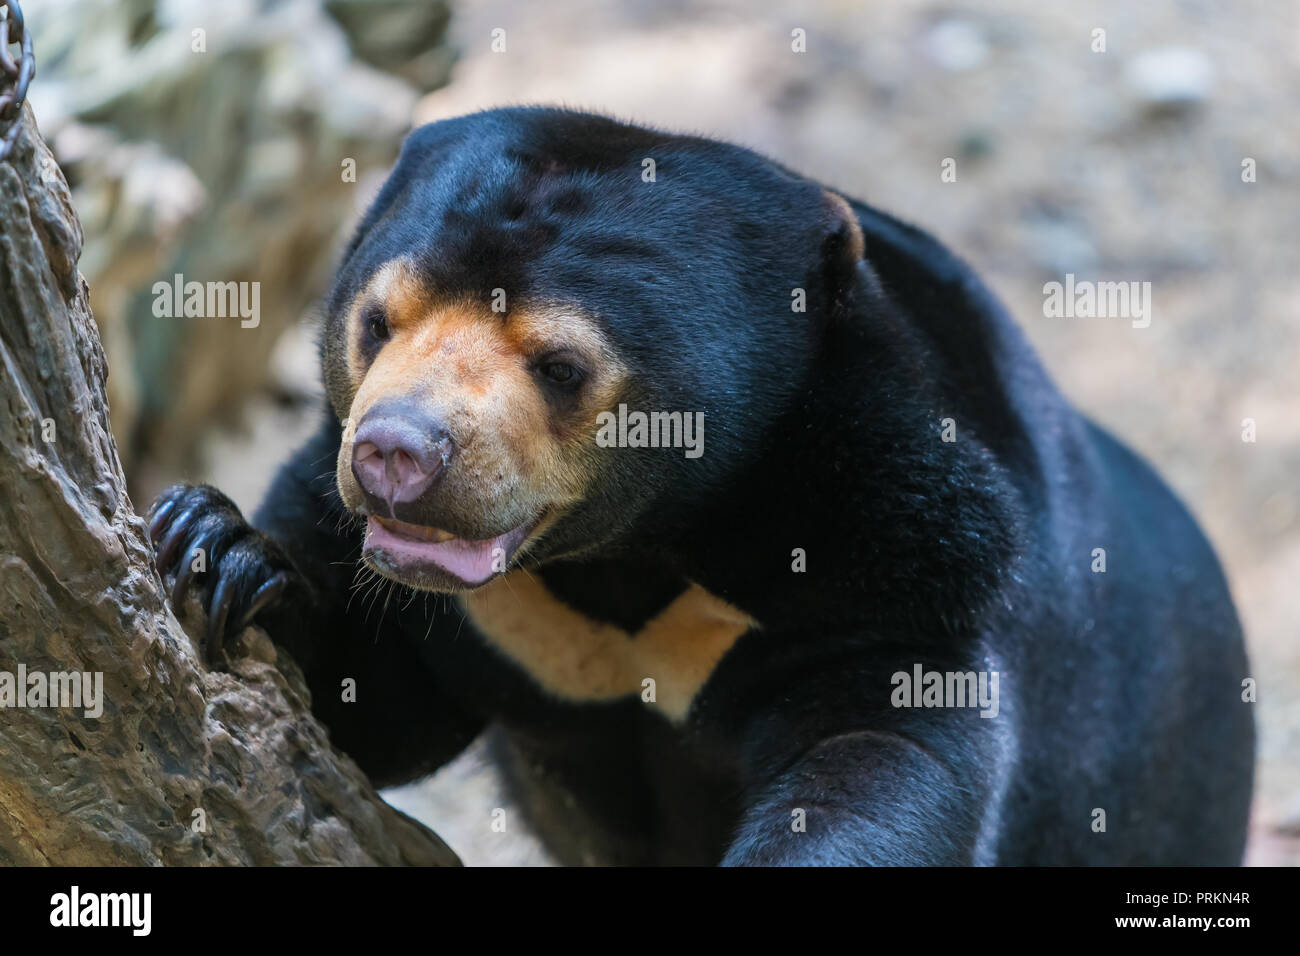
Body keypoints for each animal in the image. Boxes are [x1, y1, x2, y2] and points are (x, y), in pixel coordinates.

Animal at [149, 106, 1254, 865]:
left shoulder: (906, 565)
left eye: (561, 365)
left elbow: (886, 755)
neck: (629, 552)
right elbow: (357, 701)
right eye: (377, 321)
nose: (393, 454)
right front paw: (220, 552)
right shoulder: (478, 614)